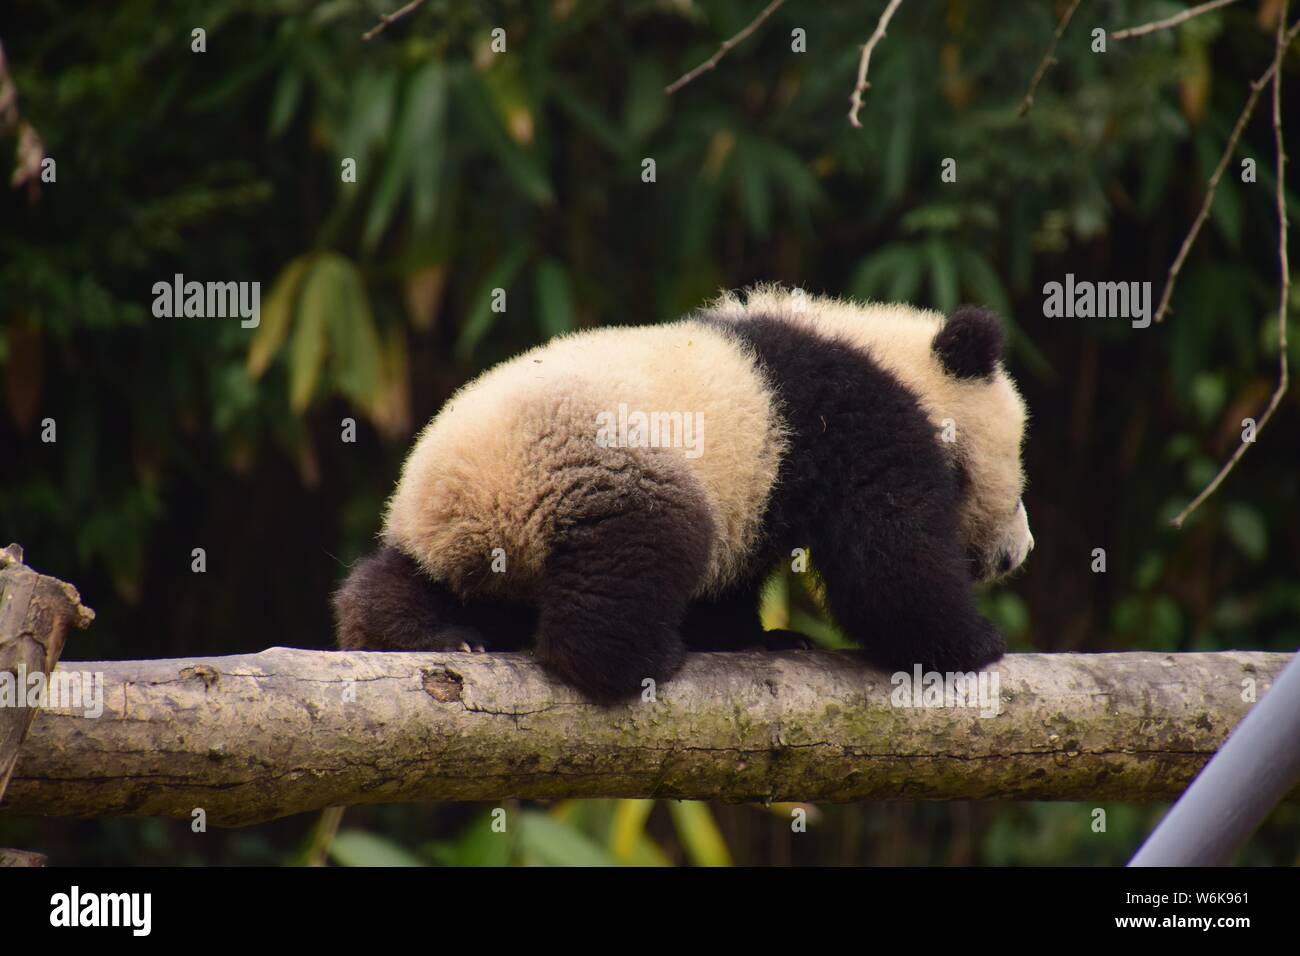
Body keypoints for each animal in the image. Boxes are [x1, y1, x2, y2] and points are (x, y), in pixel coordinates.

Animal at [334, 285, 1033, 702]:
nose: (1016, 554)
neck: (889, 353)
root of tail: (466, 497)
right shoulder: (852, 416)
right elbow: (889, 555)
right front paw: (974, 641)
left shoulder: (763, 484)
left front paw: (758, 638)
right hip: (593, 470)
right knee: (644, 550)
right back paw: (640, 658)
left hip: (443, 533)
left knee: (397, 578)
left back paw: (424, 633)